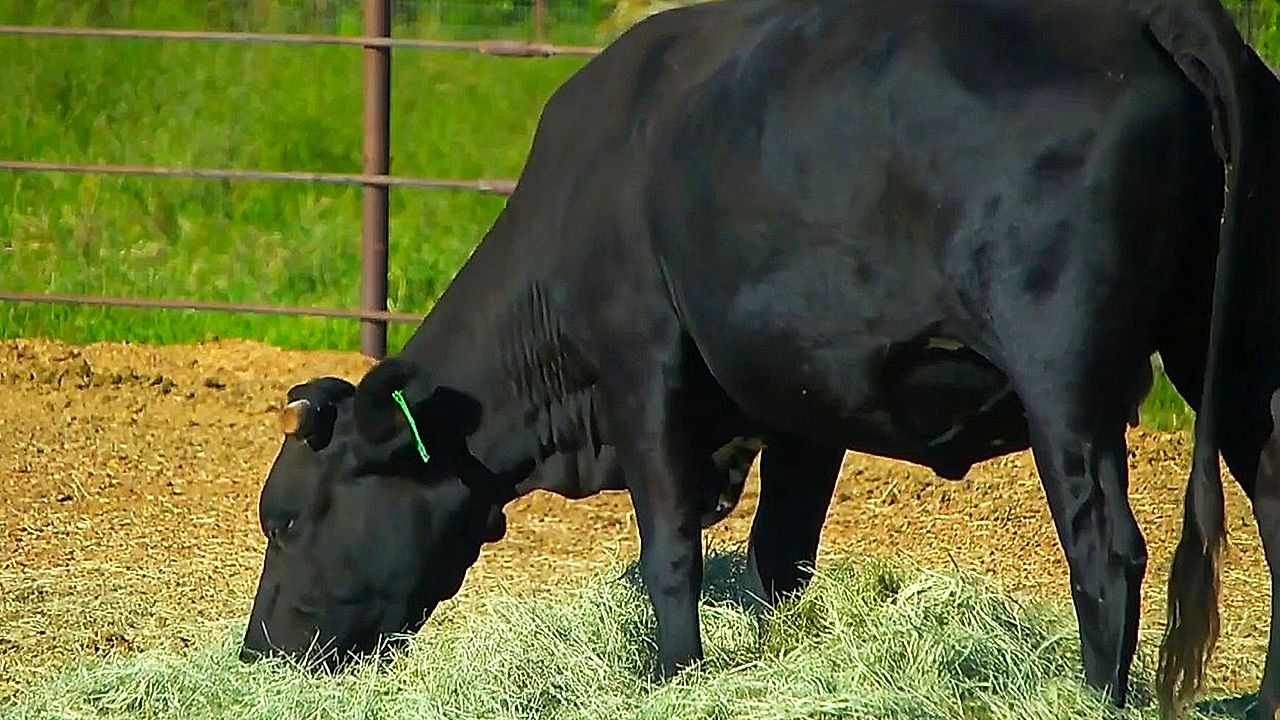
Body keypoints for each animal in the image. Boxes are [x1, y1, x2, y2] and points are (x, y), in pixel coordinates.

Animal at [236, 0, 1280, 717]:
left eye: (285, 521)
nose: (254, 654)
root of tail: (1145, 15)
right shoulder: (799, 403)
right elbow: (782, 554)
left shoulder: (641, 368)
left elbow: (668, 551)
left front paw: (675, 676)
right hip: (1231, 353)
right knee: (1271, 497)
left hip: (1066, 374)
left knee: (1104, 549)